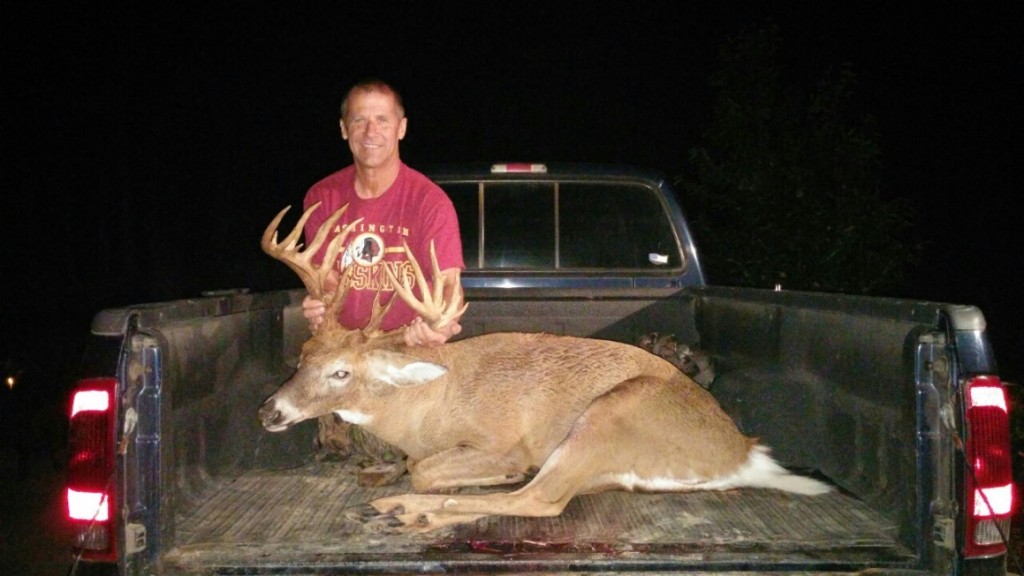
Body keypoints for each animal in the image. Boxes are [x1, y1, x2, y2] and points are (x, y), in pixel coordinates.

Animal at [257, 202, 833, 532]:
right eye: (303, 356)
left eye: (342, 372)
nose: (269, 412)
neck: (423, 408)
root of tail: (742, 453)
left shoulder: (498, 438)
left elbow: (426, 469)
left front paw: (450, 484)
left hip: (611, 414)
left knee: (541, 499)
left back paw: (405, 510)